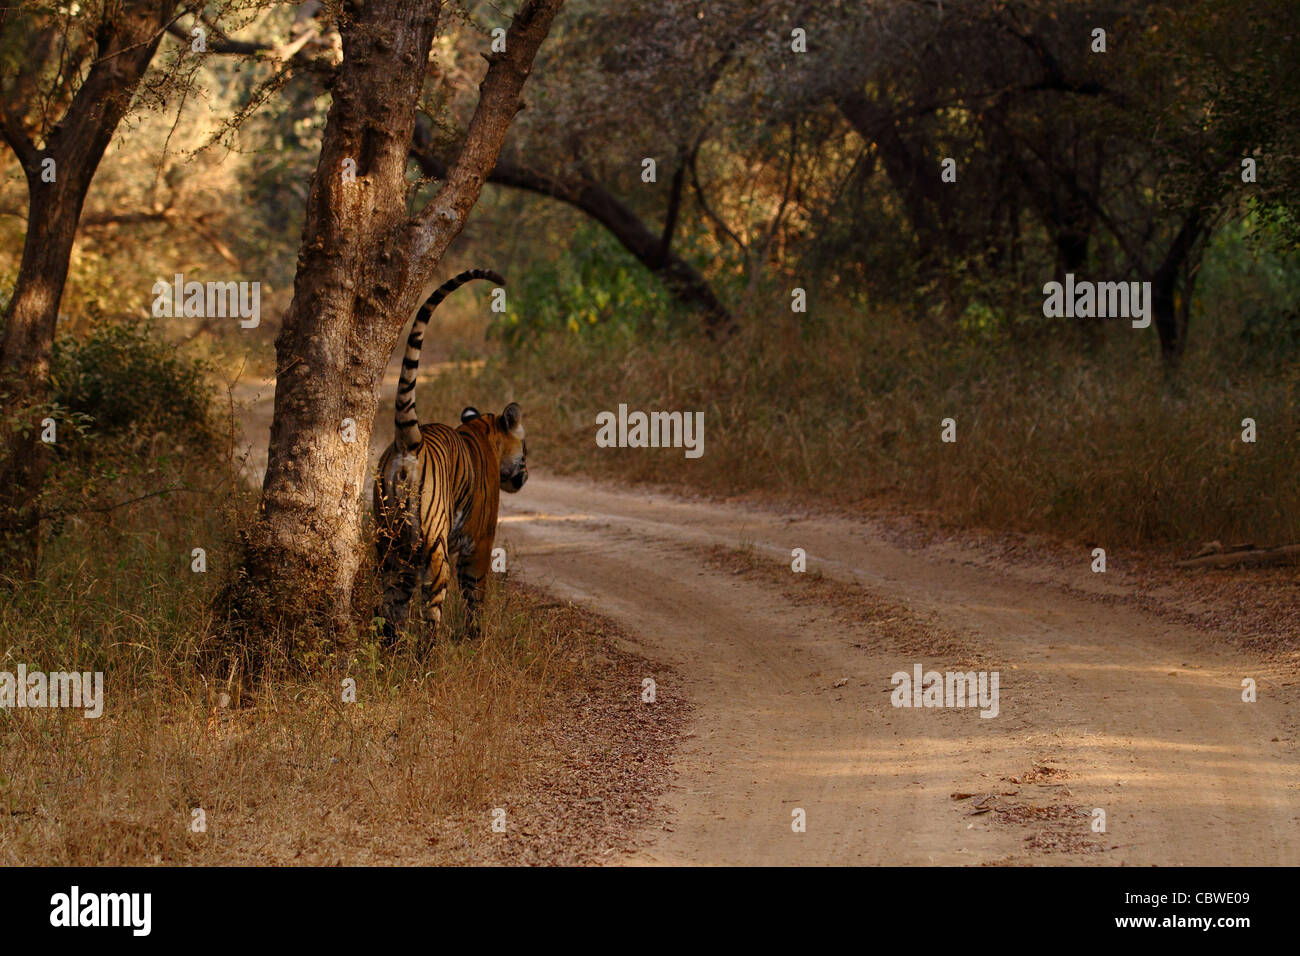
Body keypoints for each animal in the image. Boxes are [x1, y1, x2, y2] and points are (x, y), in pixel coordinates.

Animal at [372, 268, 528, 639]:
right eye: (526, 449)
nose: (526, 475)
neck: (483, 428)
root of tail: (408, 441)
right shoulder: (480, 541)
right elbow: (475, 592)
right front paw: (476, 637)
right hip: (433, 548)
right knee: (430, 610)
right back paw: (426, 651)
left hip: (390, 547)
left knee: (390, 606)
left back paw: (393, 647)